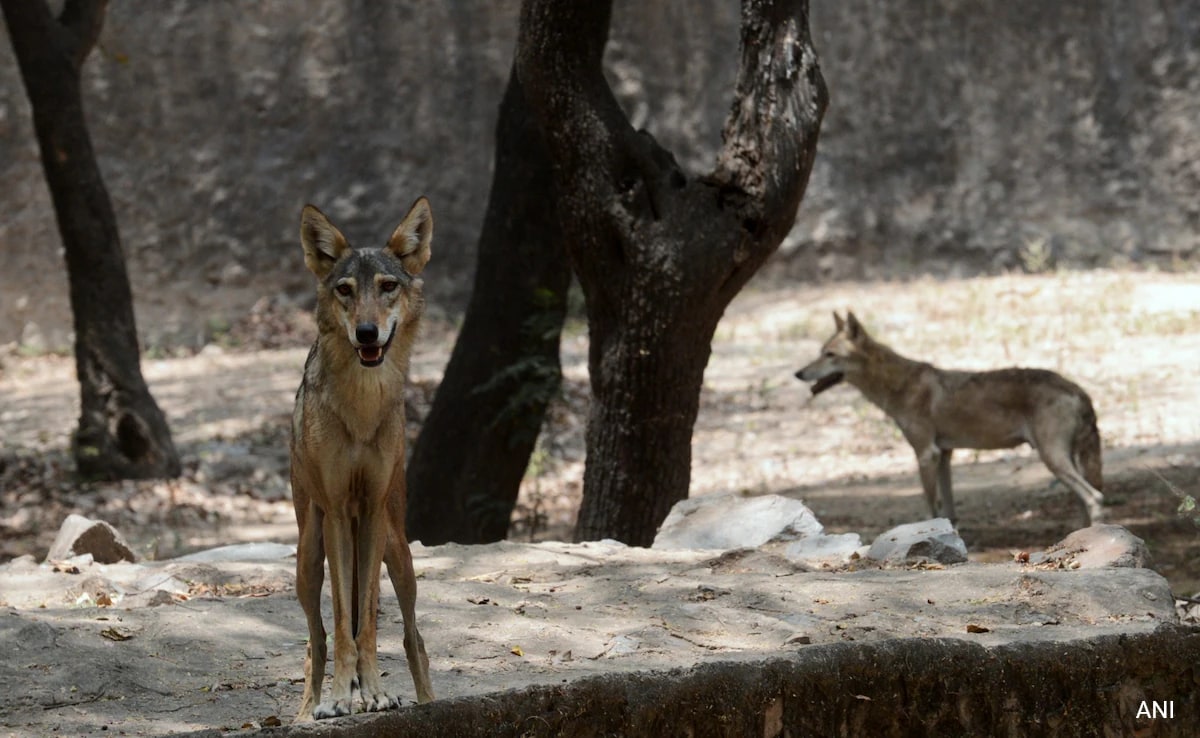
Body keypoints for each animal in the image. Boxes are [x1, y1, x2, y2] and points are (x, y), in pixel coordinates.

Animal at [289, 198, 435, 721]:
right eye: (346, 290)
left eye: (388, 287)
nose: (367, 333)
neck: (362, 406)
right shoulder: (336, 513)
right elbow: (342, 627)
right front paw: (339, 698)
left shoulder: (371, 512)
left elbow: (368, 622)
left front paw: (373, 693)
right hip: (308, 557)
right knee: (316, 641)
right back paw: (307, 710)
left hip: (399, 552)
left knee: (414, 638)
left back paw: (425, 700)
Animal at [795, 311, 1104, 526]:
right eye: (820, 353)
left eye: (830, 355)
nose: (798, 373)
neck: (899, 385)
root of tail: (1078, 390)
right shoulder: (944, 455)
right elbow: (950, 513)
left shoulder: (926, 455)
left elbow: (931, 507)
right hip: (1064, 462)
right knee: (1086, 501)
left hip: (1053, 459)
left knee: (1095, 498)